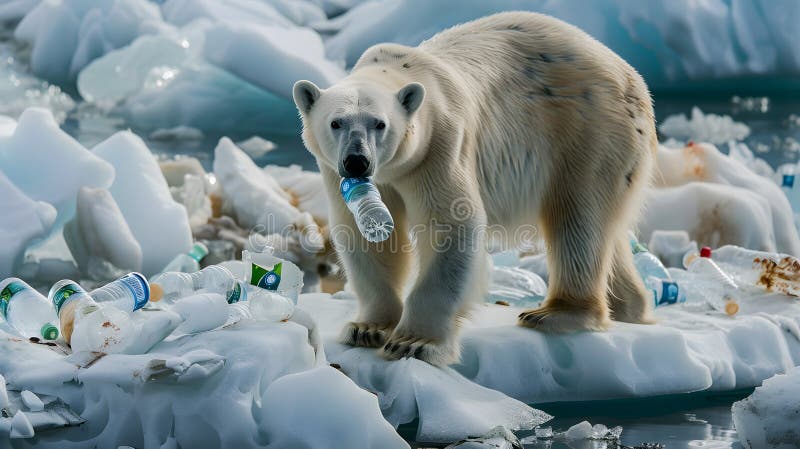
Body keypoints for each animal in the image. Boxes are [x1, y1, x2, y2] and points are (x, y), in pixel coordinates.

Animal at [293, 11, 656, 366]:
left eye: (380, 124)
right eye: (335, 122)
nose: (357, 161)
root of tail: (631, 76)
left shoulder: (438, 146)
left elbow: (450, 224)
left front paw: (415, 342)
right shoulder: (340, 171)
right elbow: (365, 237)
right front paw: (367, 328)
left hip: (589, 130)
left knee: (578, 219)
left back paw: (554, 313)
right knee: (606, 229)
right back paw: (629, 306)